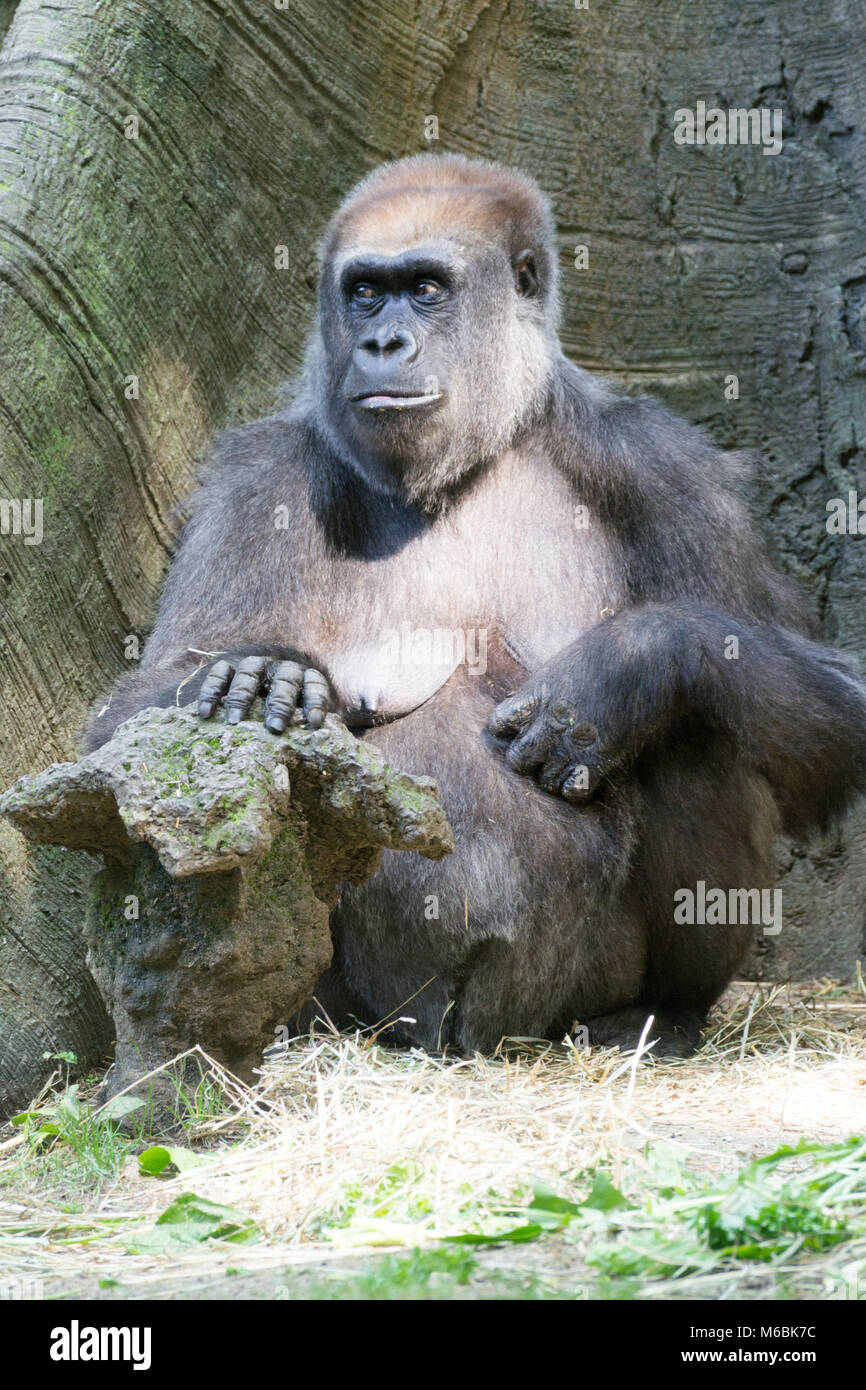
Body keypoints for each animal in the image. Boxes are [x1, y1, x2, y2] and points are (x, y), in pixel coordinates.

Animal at [85, 154, 866, 1058]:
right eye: (364, 292)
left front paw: (631, 663)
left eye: (426, 289)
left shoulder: (666, 464)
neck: (478, 452)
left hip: (552, 1007)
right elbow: (133, 723)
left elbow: (826, 724)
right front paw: (261, 676)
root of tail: (467, 1040)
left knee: (698, 725)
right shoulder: (259, 469)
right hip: (386, 1021)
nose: (382, 343)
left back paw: (664, 1010)